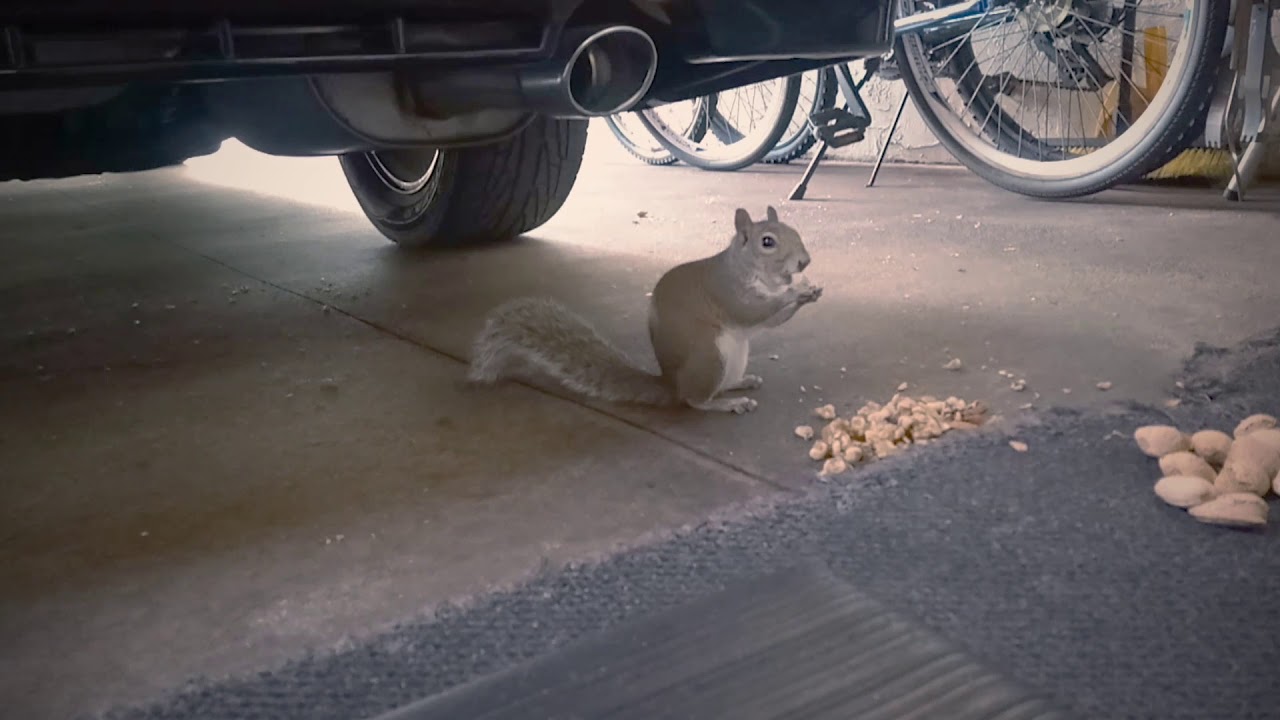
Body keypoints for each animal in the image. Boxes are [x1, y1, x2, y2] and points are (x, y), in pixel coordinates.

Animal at [466, 205, 822, 414]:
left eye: (796, 232)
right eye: (767, 242)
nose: (804, 262)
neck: (749, 269)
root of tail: (670, 384)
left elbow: (770, 321)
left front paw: (808, 292)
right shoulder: (725, 291)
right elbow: (752, 313)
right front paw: (797, 291)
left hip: (732, 359)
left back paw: (742, 383)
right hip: (710, 358)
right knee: (695, 401)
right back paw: (729, 403)